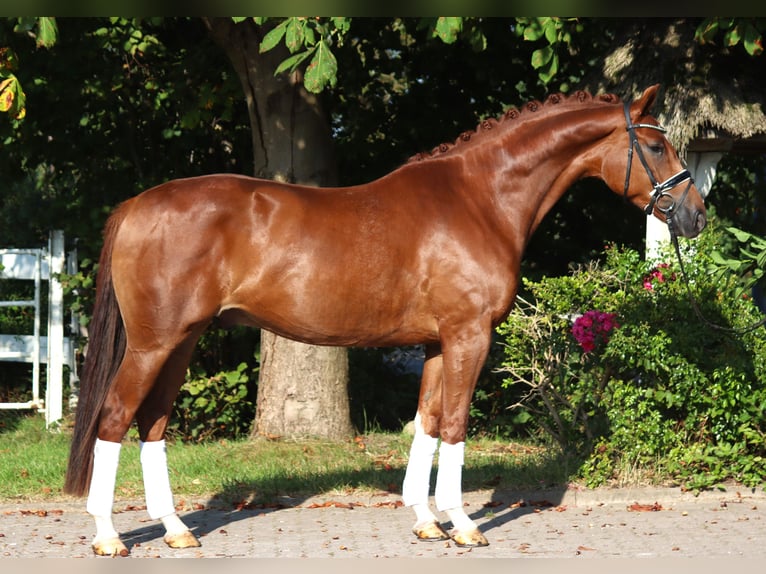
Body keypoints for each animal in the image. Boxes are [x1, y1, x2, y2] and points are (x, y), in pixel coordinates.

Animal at [63, 84, 706, 556]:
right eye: (656, 148)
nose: (696, 215)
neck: (480, 199)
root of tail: (136, 204)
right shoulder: (469, 336)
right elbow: (455, 425)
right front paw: (463, 524)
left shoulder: (437, 343)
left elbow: (427, 423)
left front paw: (425, 520)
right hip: (153, 344)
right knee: (115, 418)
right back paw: (109, 537)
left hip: (181, 343)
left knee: (152, 424)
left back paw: (175, 530)